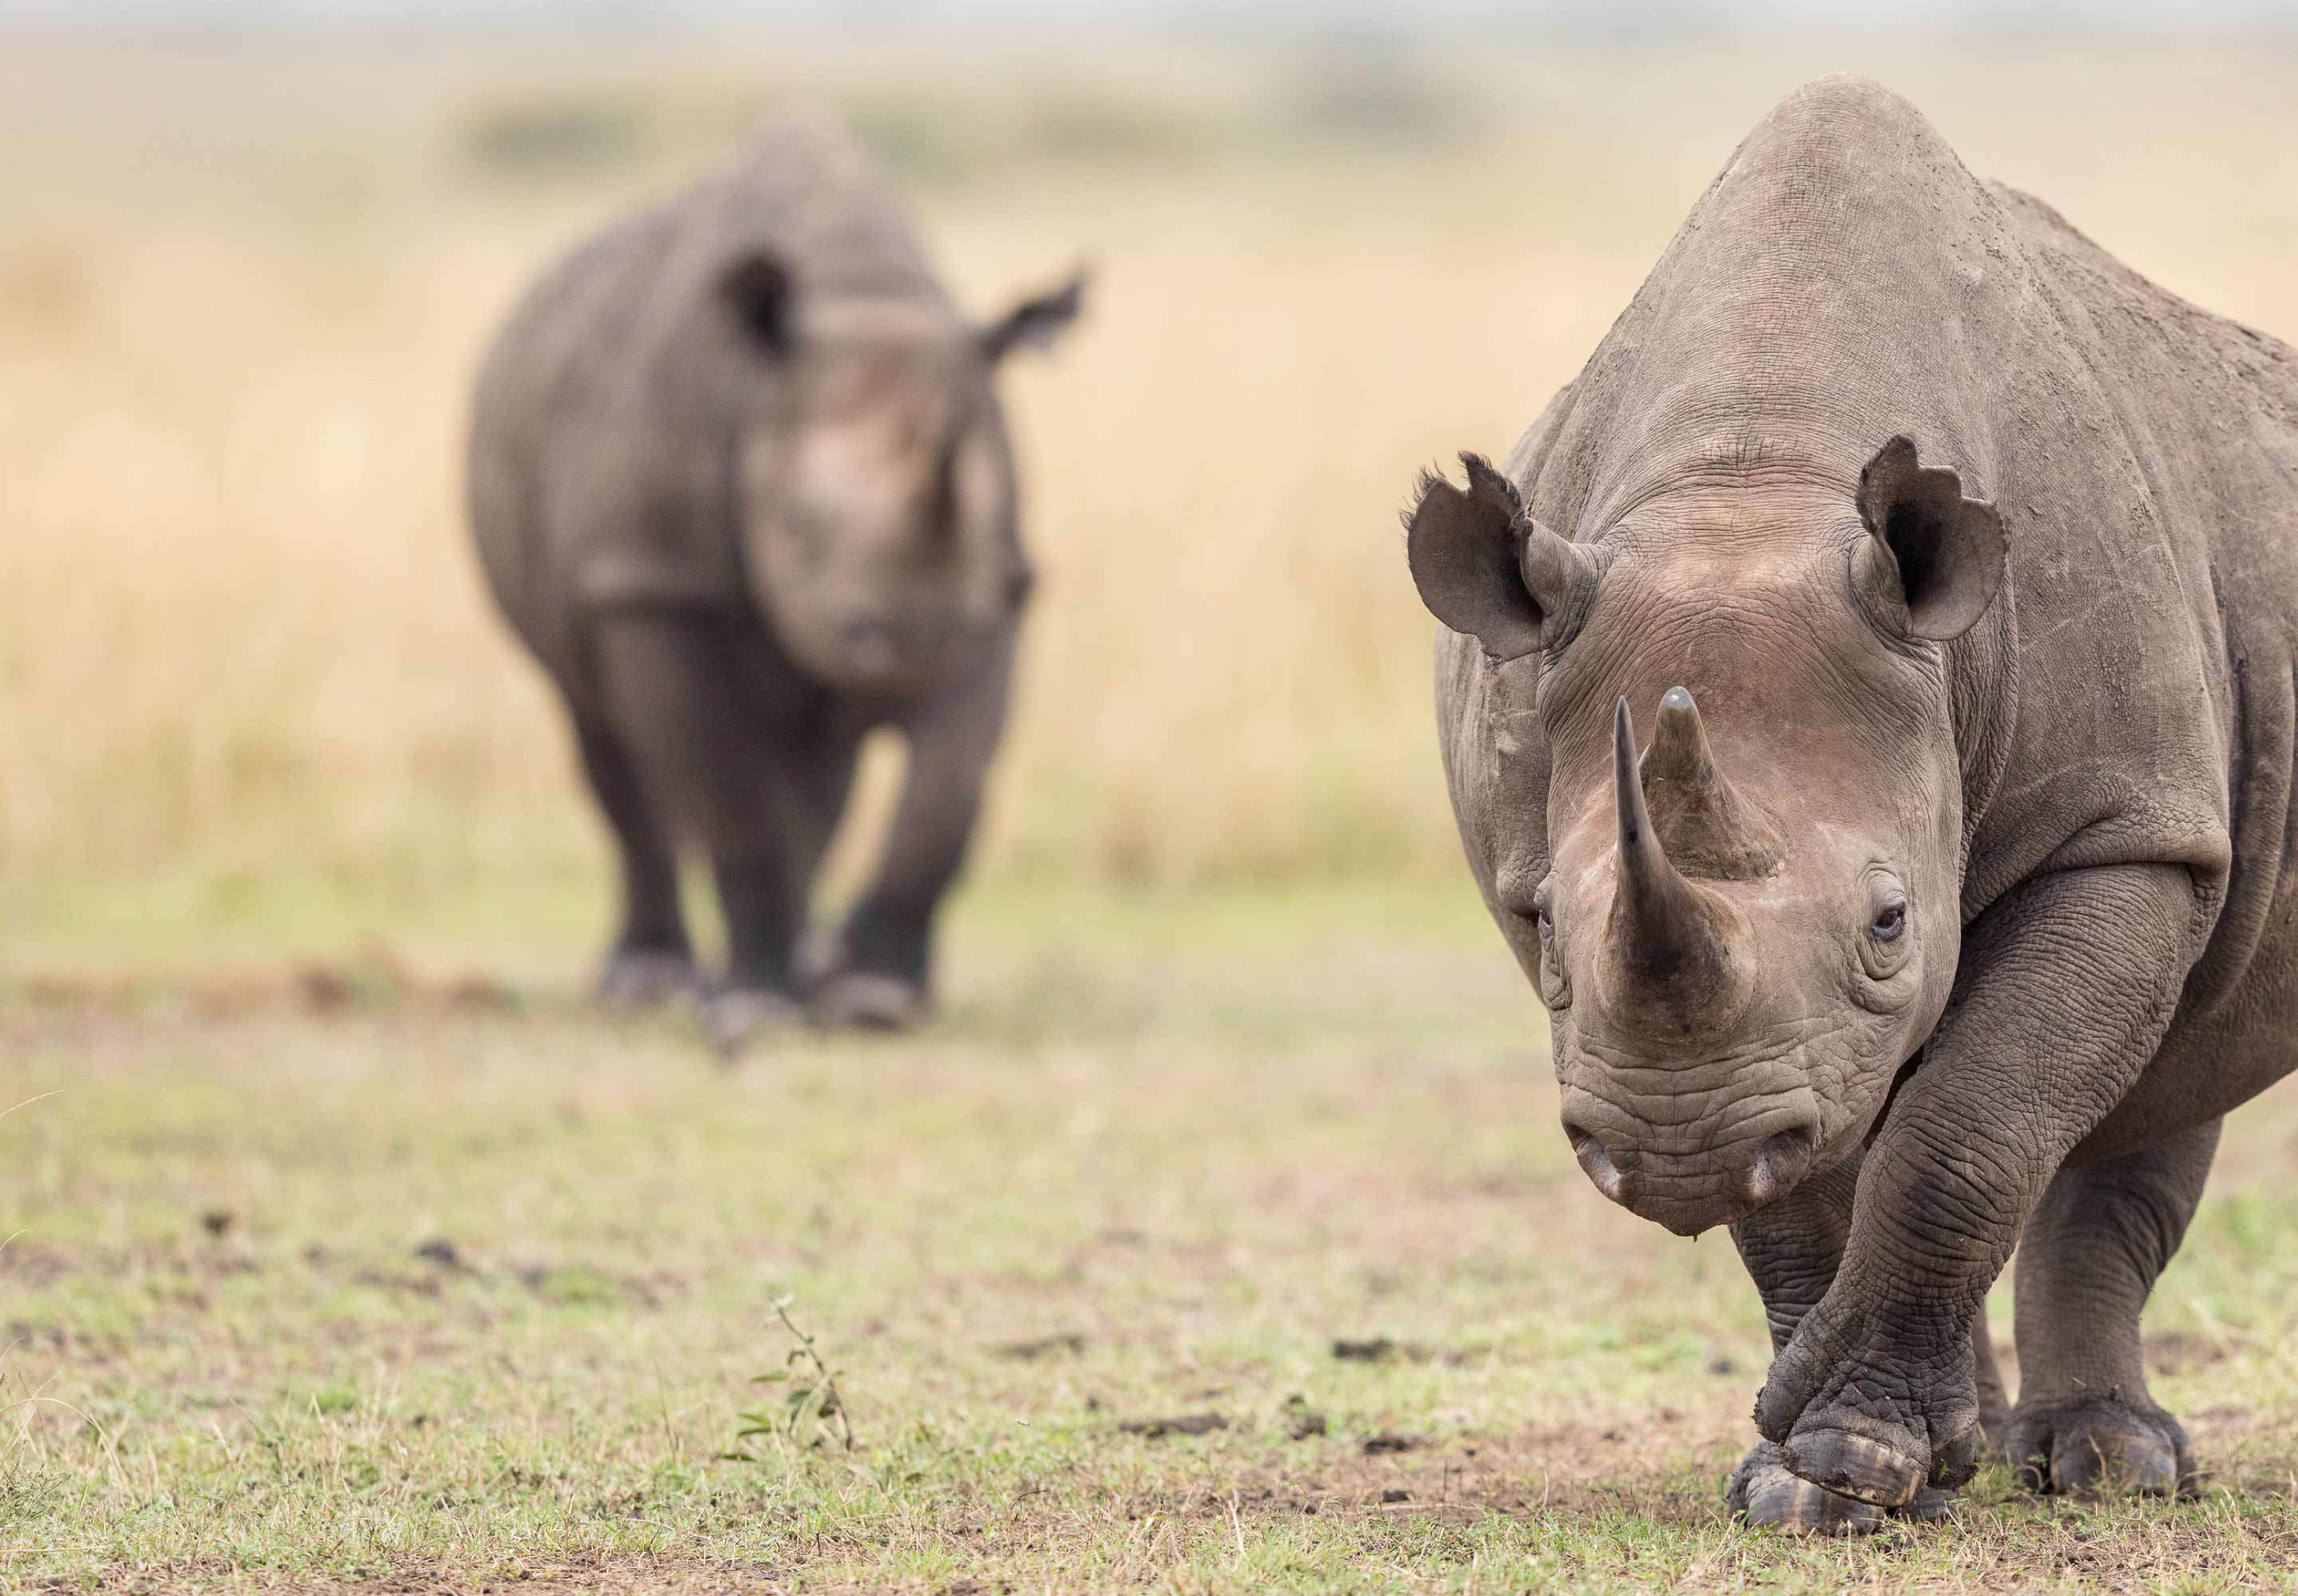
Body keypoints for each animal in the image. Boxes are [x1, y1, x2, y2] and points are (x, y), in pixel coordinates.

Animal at [470, 117, 1082, 1045]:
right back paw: (654, 980)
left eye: (980, 518)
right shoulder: (656, 586)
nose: (913, 641)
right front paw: (755, 1006)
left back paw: (807, 966)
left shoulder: (995, 595)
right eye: (794, 525)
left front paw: (873, 996)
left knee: (817, 769)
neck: (857, 300)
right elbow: (733, 801)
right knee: (601, 732)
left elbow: (945, 794)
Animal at [1407, 76, 2298, 1532]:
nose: (1671, 1152)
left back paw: (2109, 1470)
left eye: (1890, 924)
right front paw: (1831, 1480)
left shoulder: (2124, 828)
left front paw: (1848, 1454)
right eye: (1542, 930)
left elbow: (1965, 1128)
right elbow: (1803, 1177)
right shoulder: (1747, 1043)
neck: (1755, 482)